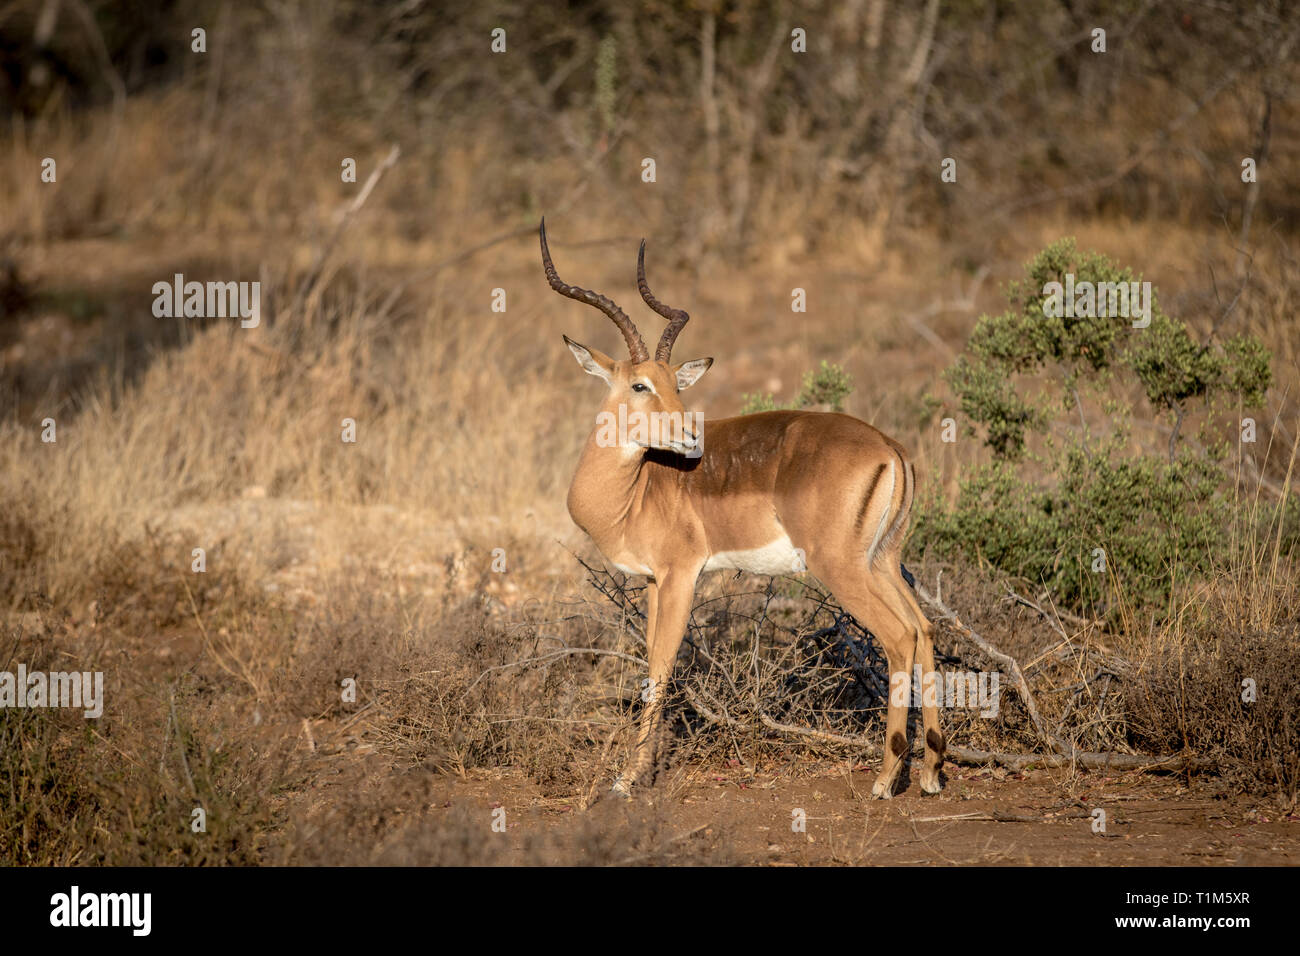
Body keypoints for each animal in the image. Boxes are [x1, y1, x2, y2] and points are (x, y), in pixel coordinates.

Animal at [541, 219, 943, 798]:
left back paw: (888, 777)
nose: (690, 435)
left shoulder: (682, 574)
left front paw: (628, 778)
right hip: (883, 561)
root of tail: (890, 448)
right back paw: (931, 771)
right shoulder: (653, 581)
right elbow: (649, 665)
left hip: (840, 566)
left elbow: (660, 670)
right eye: (641, 383)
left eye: (674, 383)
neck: (635, 491)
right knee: (926, 628)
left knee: (900, 636)